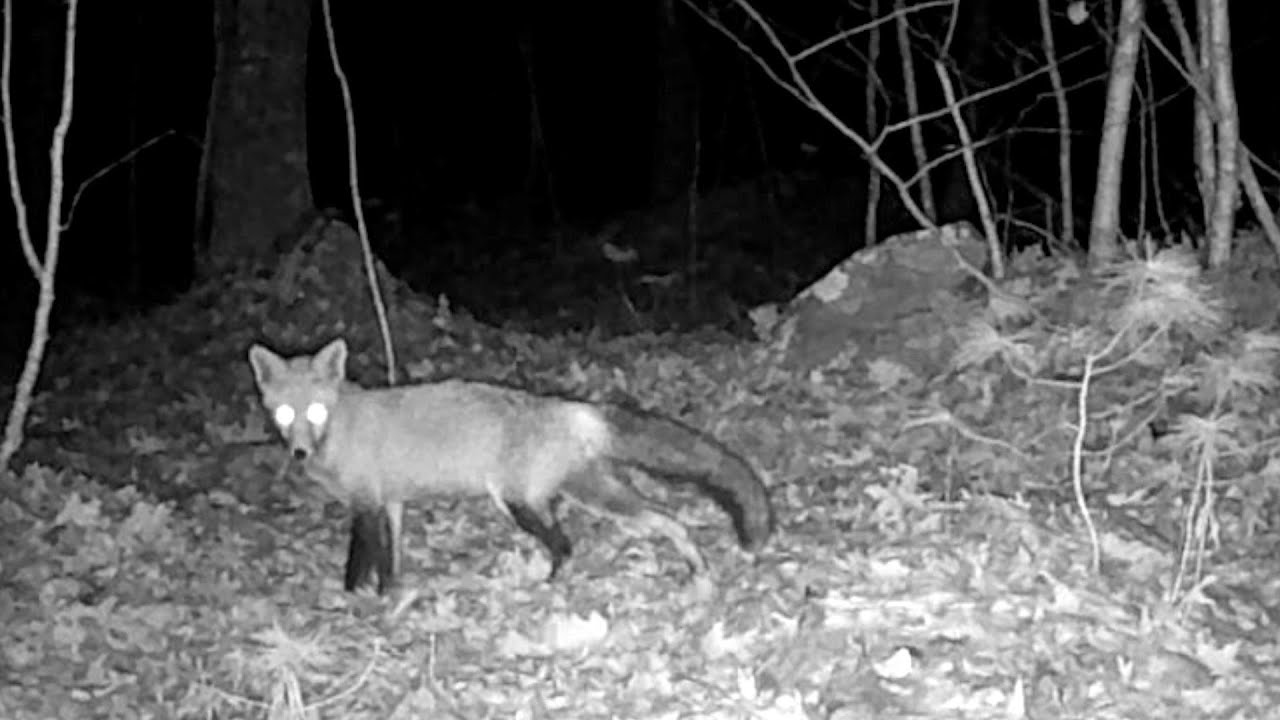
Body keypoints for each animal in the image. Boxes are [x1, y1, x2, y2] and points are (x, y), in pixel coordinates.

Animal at [247, 337, 775, 595]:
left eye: (316, 412)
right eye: (285, 414)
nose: (299, 453)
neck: (343, 427)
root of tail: (569, 407)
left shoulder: (366, 504)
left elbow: (360, 564)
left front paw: (357, 603)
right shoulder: (390, 504)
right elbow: (391, 561)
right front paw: (391, 596)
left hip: (517, 501)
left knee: (566, 544)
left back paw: (550, 585)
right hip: (593, 494)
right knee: (667, 520)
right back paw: (698, 573)